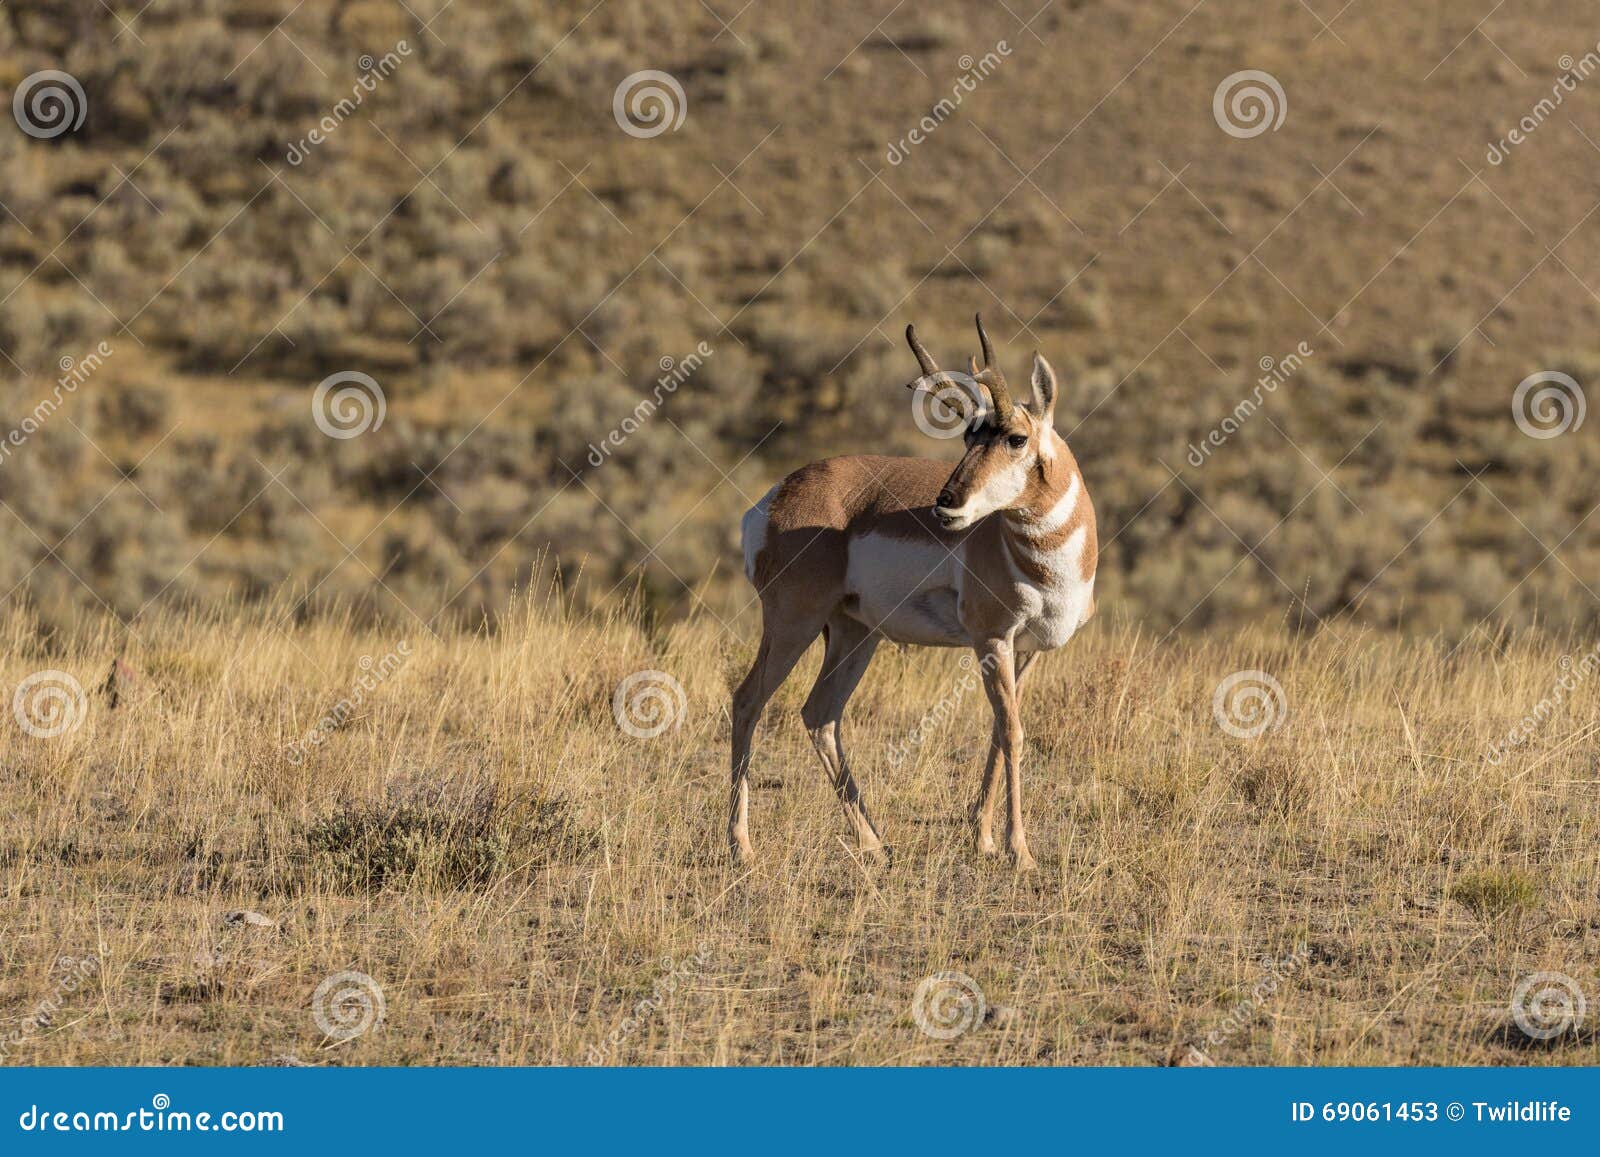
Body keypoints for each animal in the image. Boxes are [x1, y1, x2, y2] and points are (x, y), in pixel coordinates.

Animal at [731, 315, 1097, 869]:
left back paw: (872, 841)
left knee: (820, 714)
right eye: (968, 434)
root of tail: (773, 500)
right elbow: (1013, 732)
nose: (946, 503)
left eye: (1015, 438)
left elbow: (1000, 731)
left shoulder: (1028, 649)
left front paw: (983, 839)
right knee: (748, 700)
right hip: (793, 624)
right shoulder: (992, 640)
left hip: (855, 634)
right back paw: (742, 845)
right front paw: (1019, 851)